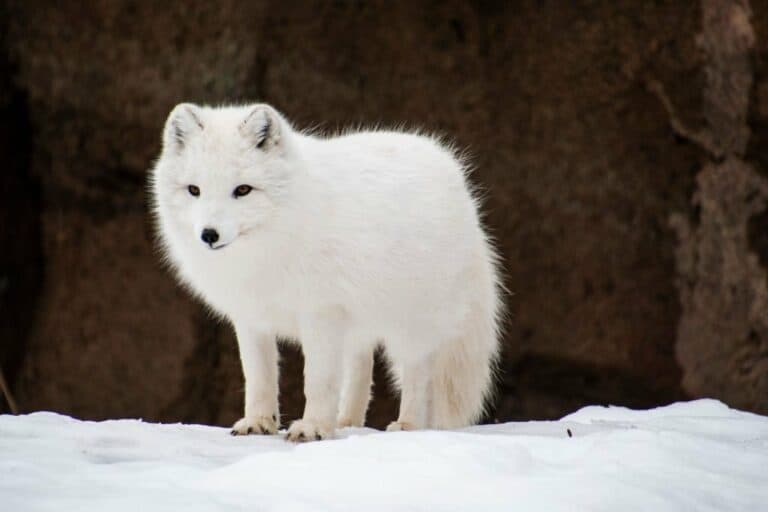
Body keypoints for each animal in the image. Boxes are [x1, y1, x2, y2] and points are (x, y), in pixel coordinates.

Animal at [150, 103, 503, 441]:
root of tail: (457, 178)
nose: (209, 235)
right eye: (194, 190)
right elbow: (259, 378)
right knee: (362, 367)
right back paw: (347, 422)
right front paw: (259, 423)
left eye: (243, 190)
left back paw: (407, 425)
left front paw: (313, 428)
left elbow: (318, 381)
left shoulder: (321, 313)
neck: (271, 243)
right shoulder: (252, 318)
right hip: (359, 325)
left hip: (412, 322)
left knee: (418, 374)